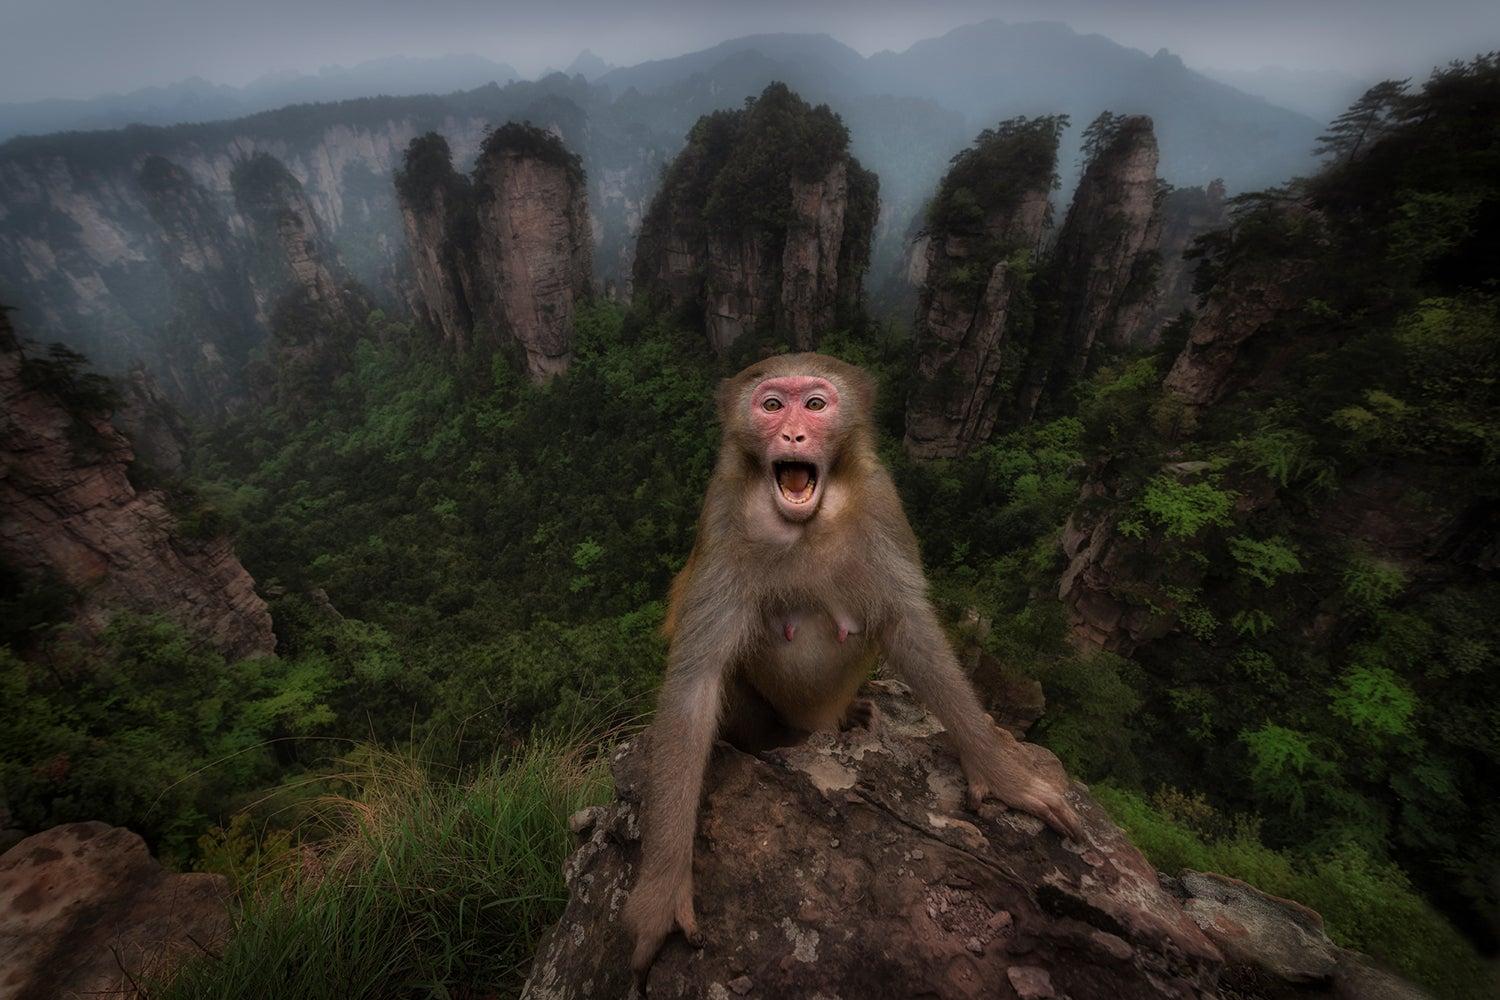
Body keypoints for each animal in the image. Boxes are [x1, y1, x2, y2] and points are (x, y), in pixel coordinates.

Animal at [622, 352, 1084, 973]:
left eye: (816, 404)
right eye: (772, 405)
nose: (794, 434)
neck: (807, 521)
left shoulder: (883, 504)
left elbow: (910, 631)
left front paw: (1002, 773)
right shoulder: (721, 517)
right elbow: (696, 684)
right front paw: (663, 890)